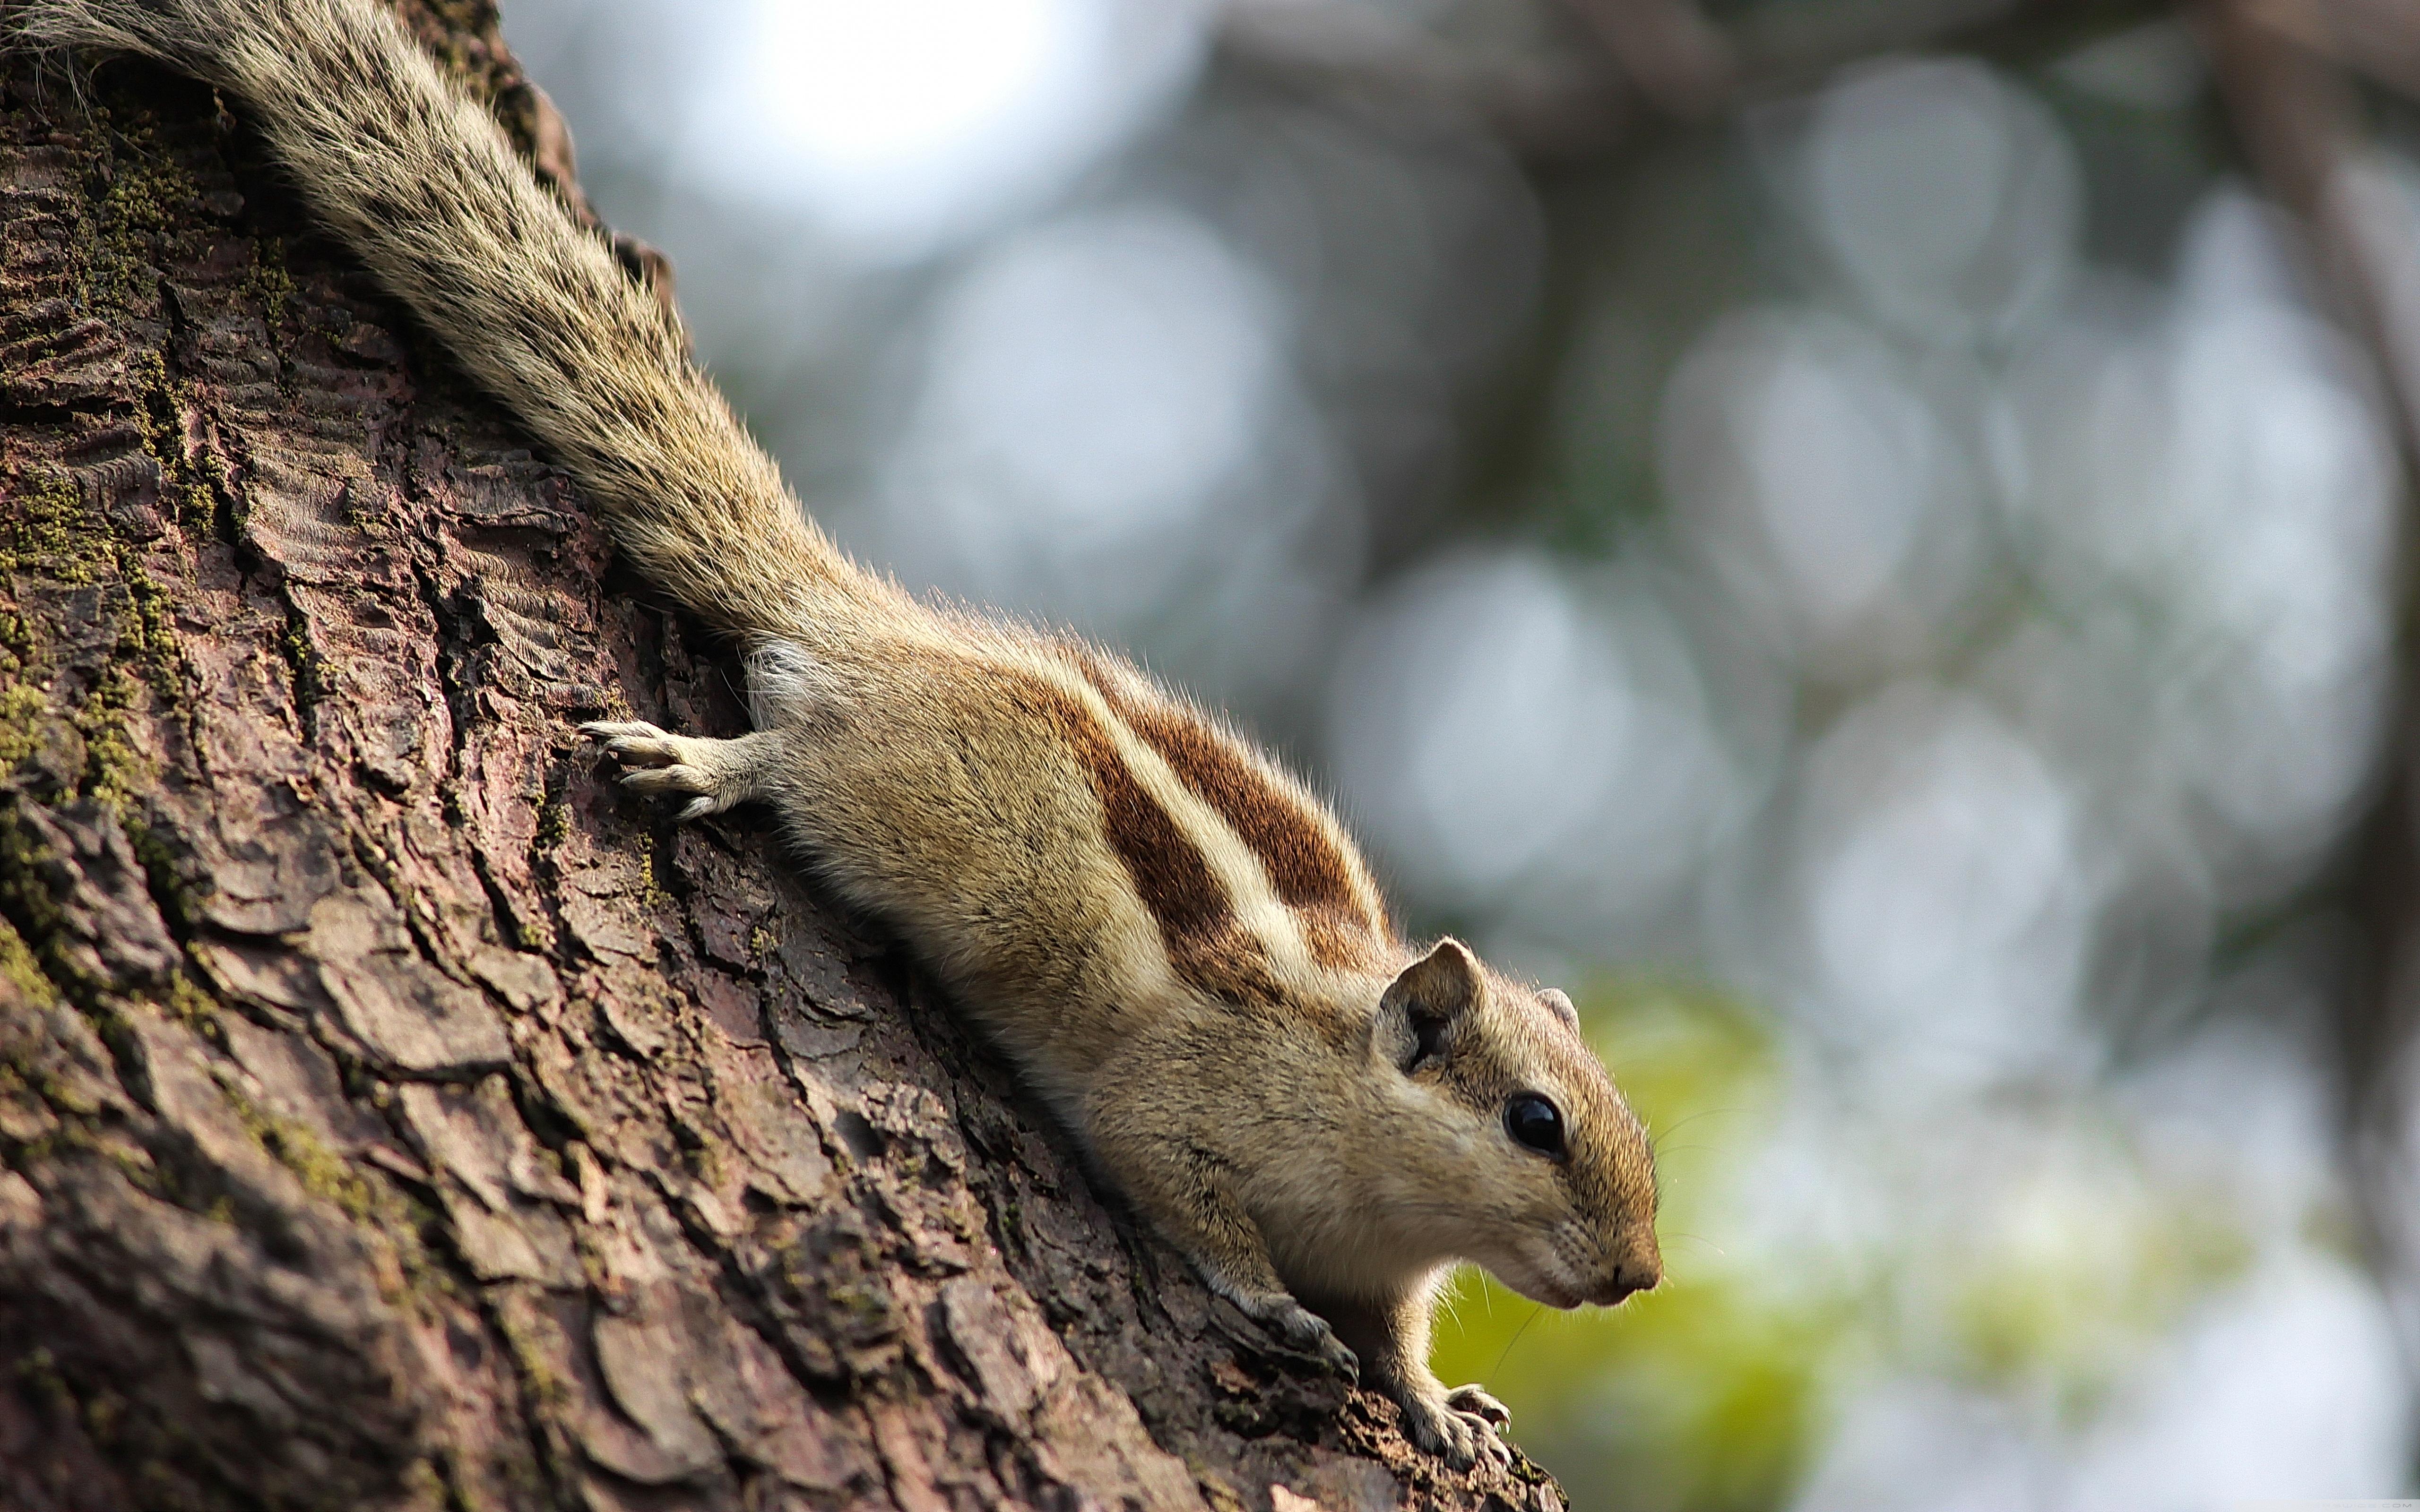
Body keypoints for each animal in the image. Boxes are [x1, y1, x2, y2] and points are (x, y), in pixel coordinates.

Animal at [11, 0, 1663, 1469]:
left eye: (1619, 1127)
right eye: (1532, 1121)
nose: (1638, 1275)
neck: (1365, 1134)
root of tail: (873, 627)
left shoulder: (1389, 1270)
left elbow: (1396, 1341)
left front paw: (1435, 1406)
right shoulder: (1178, 1110)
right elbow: (1189, 1204)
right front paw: (1265, 1302)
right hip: (908, 806)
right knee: (802, 751)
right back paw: (714, 762)